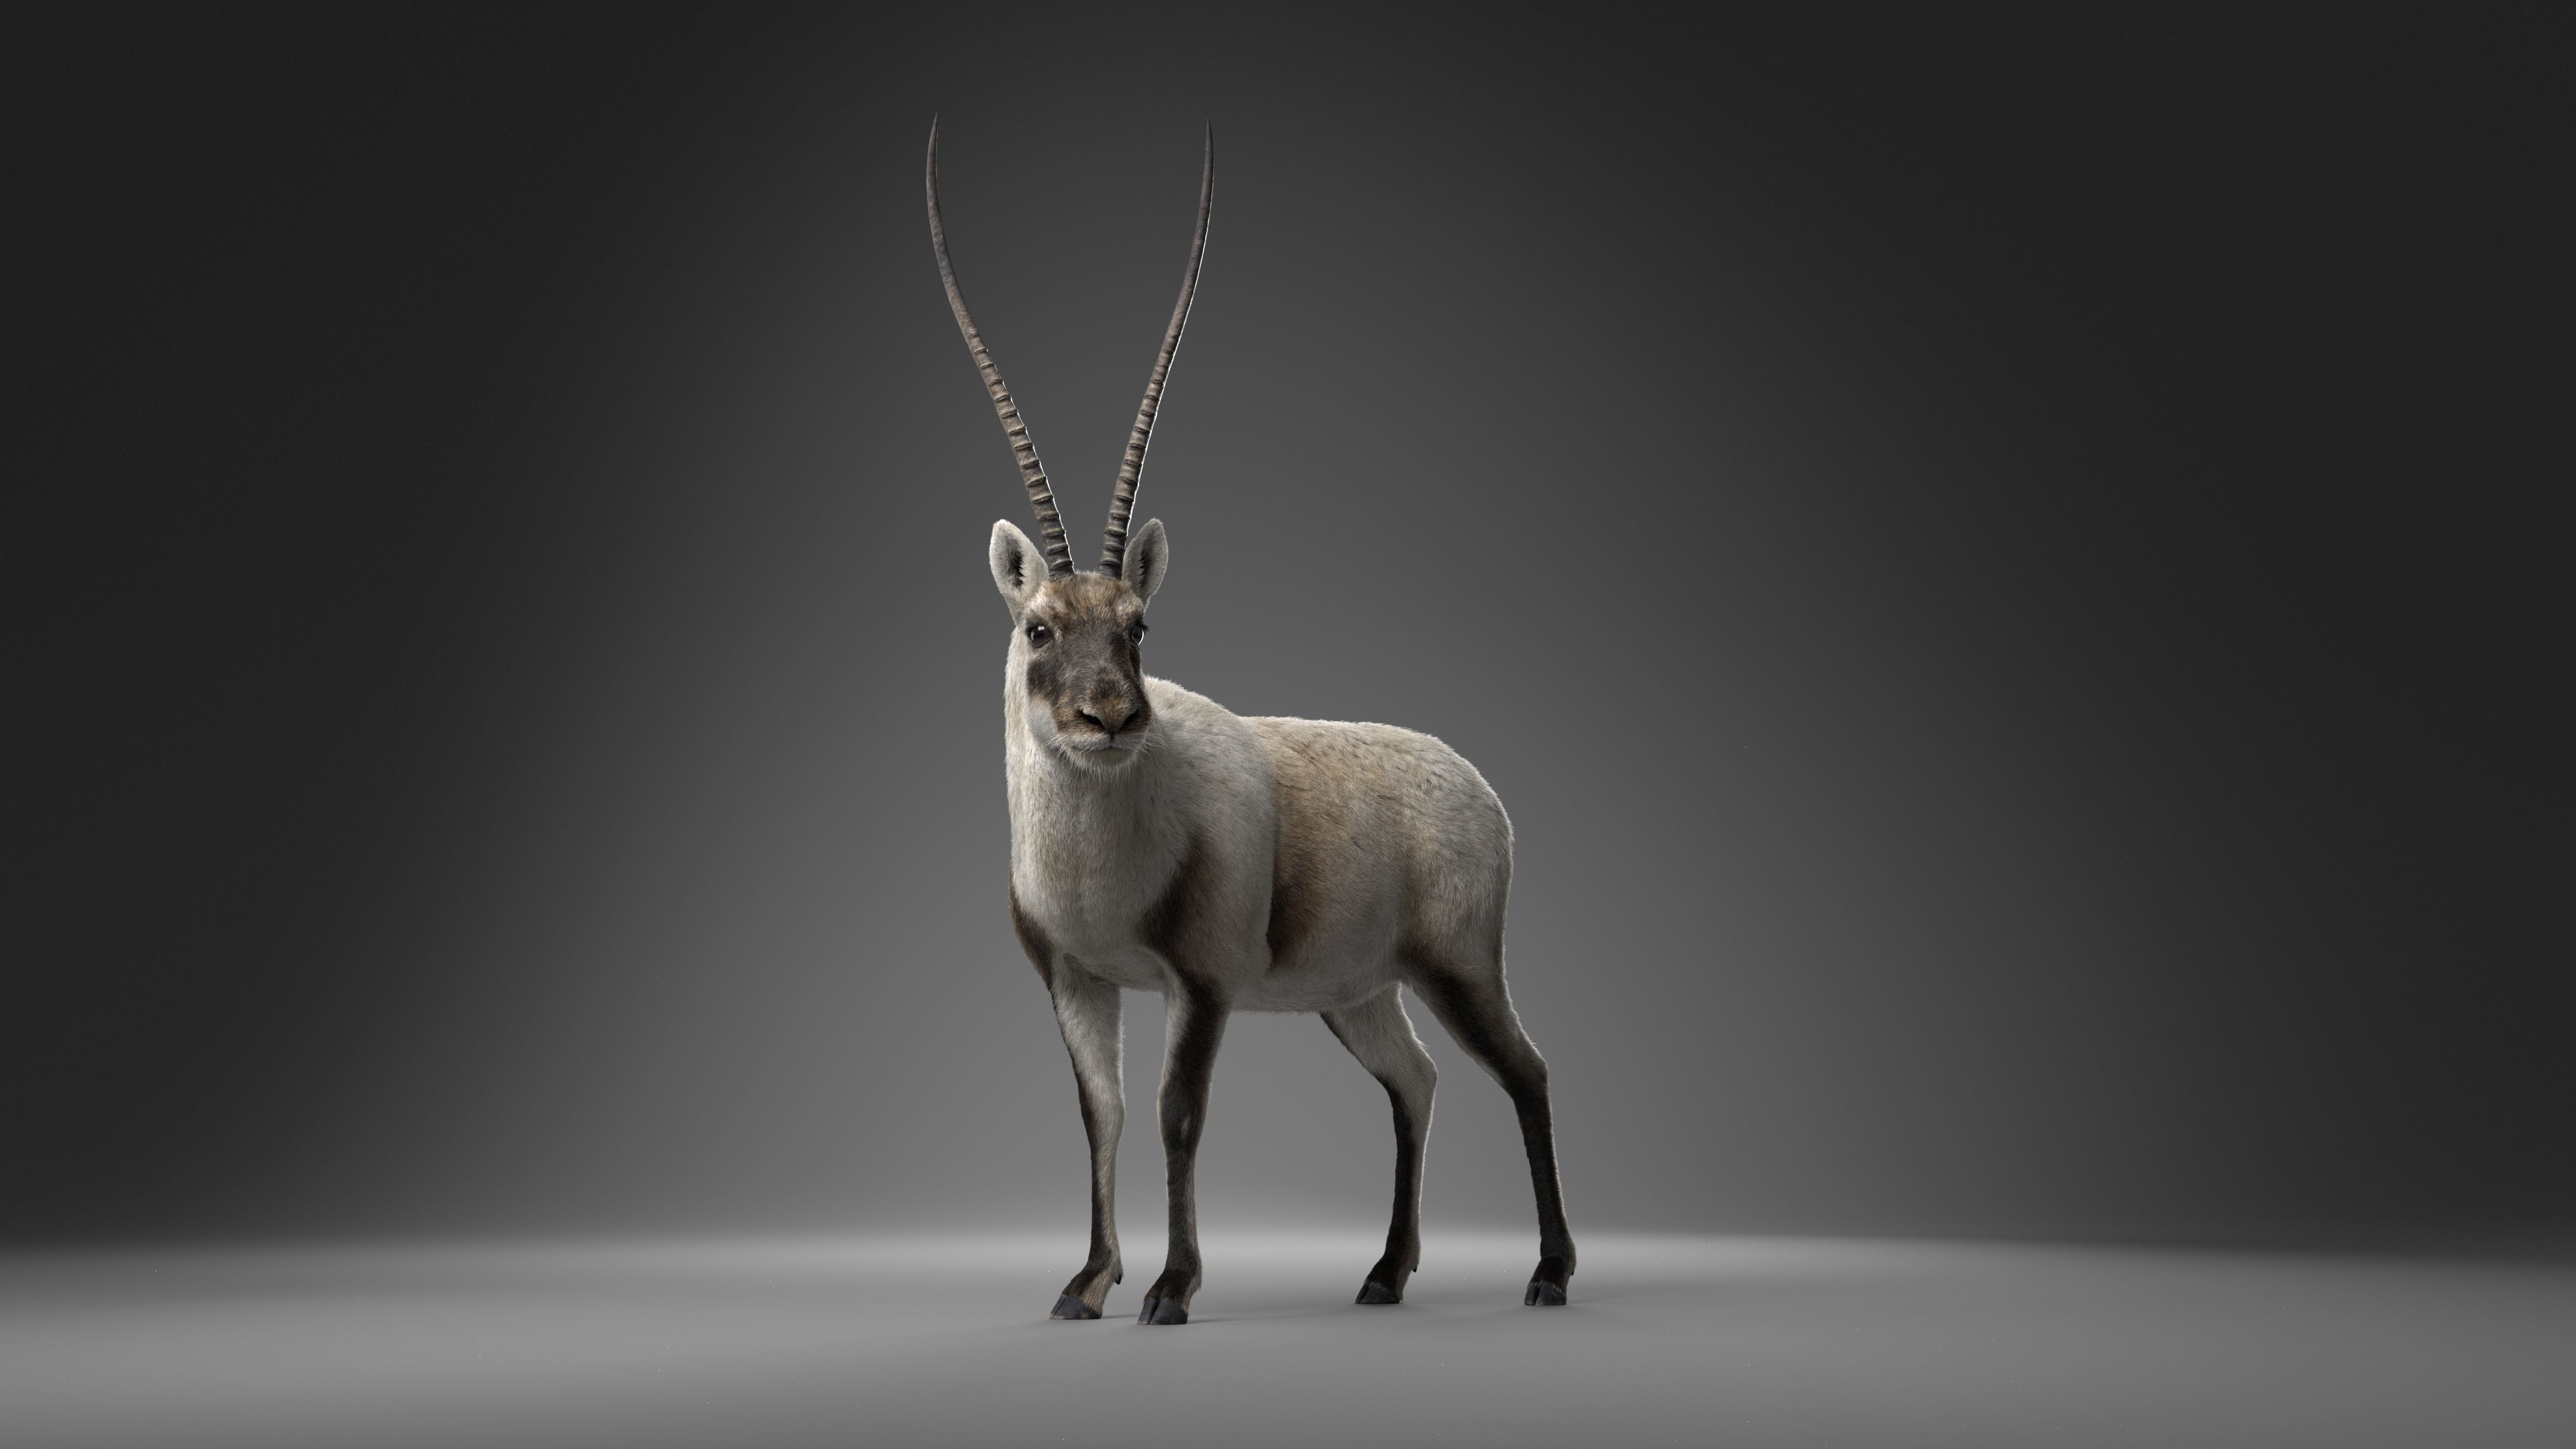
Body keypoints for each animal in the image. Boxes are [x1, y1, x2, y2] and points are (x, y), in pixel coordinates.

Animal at [926, 123, 1574, 1325]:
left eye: (1138, 625)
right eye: (1040, 626)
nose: (1110, 717)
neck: (1103, 850)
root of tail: (1479, 785)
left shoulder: (1205, 982)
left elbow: (1177, 1115)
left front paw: (1171, 1289)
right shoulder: (1078, 979)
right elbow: (1102, 1116)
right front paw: (1086, 1283)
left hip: (1459, 967)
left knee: (1527, 1070)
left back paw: (1549, 1275)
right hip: (1359, 994)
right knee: (1416, 1080)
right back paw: (1383, 1276)